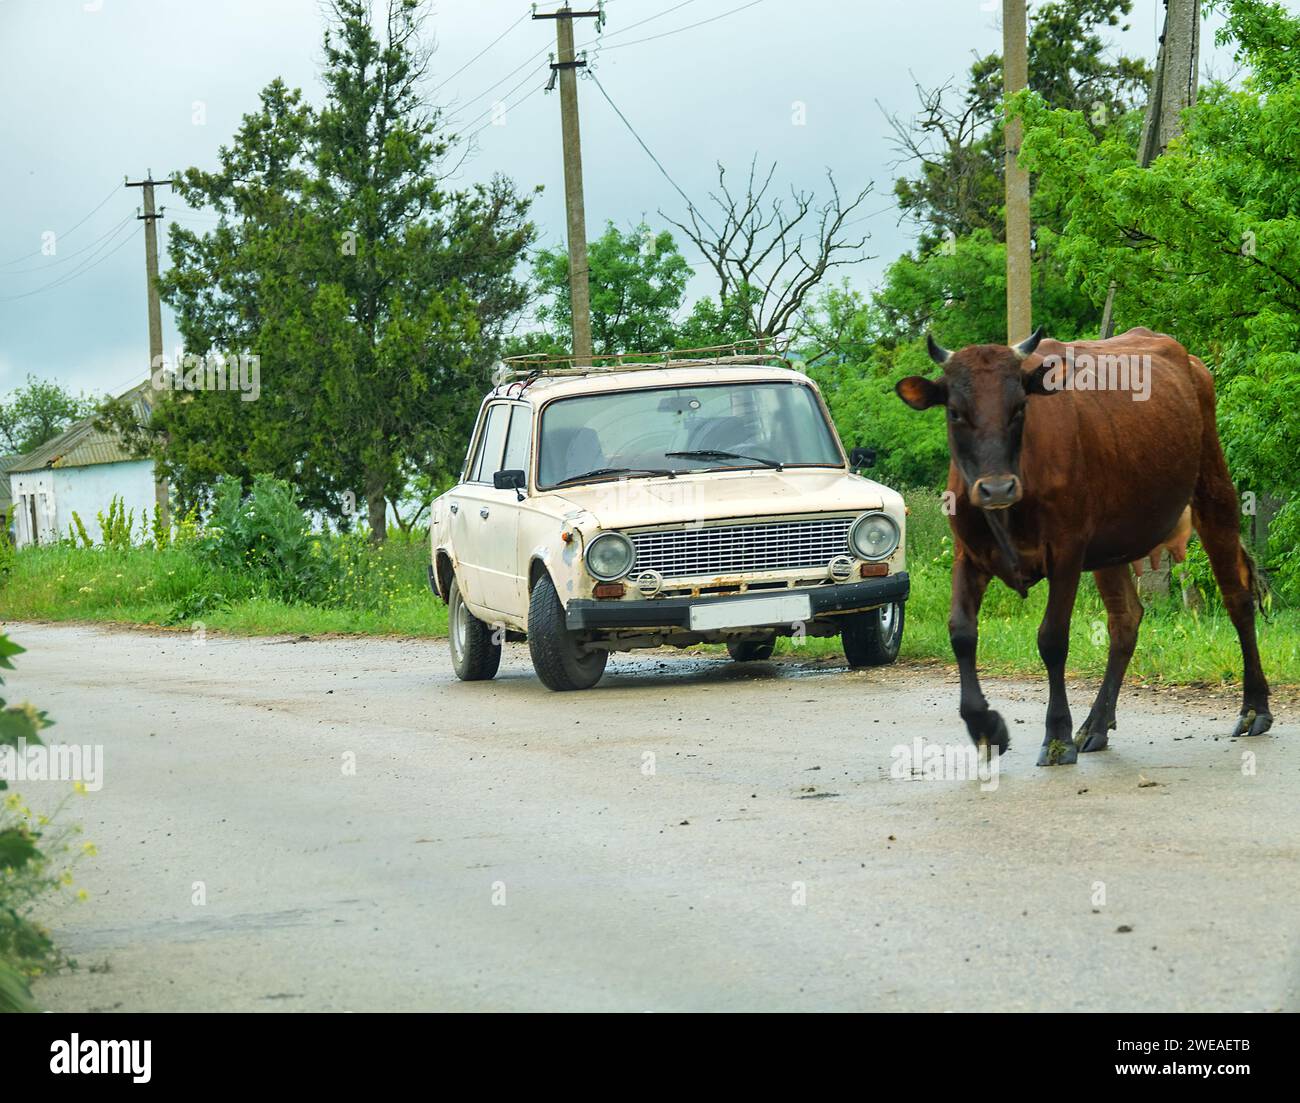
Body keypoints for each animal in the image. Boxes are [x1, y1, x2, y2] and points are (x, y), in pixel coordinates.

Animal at [895, 326, 1271, 766]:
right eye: (955, 411)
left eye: (1020, 407)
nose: (996, 489)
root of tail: (1187, 358)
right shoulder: (968, 554)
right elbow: (961, 633)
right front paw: (986, 726)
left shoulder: (1066, 550)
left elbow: (1053, 638)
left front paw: (1057, 735)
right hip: (1111, 543)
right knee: (1125, 620)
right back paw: (1095, 725)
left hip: (1214, 490)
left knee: (1237, 600)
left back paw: (1254, 710)